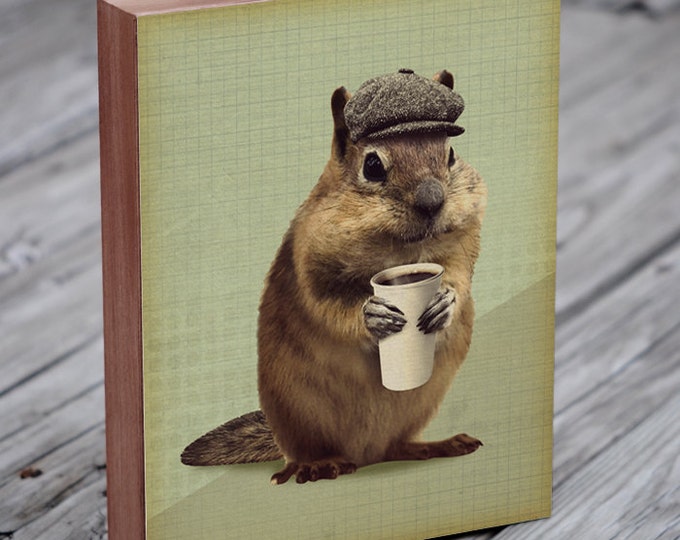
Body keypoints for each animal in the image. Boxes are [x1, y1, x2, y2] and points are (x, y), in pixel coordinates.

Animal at [181, 69, 487, 485]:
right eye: (372, 165)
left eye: (451, 155)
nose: (432, 199)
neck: (401, 248)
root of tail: (363, 457)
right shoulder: (307, 254)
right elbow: (323, 301)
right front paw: (372, 313)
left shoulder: (464, 237)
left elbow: (459, 271)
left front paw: (446, 302)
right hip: (298, 413)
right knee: (308, 452)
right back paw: (315, 465)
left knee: (396, 446)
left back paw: (436, 446)